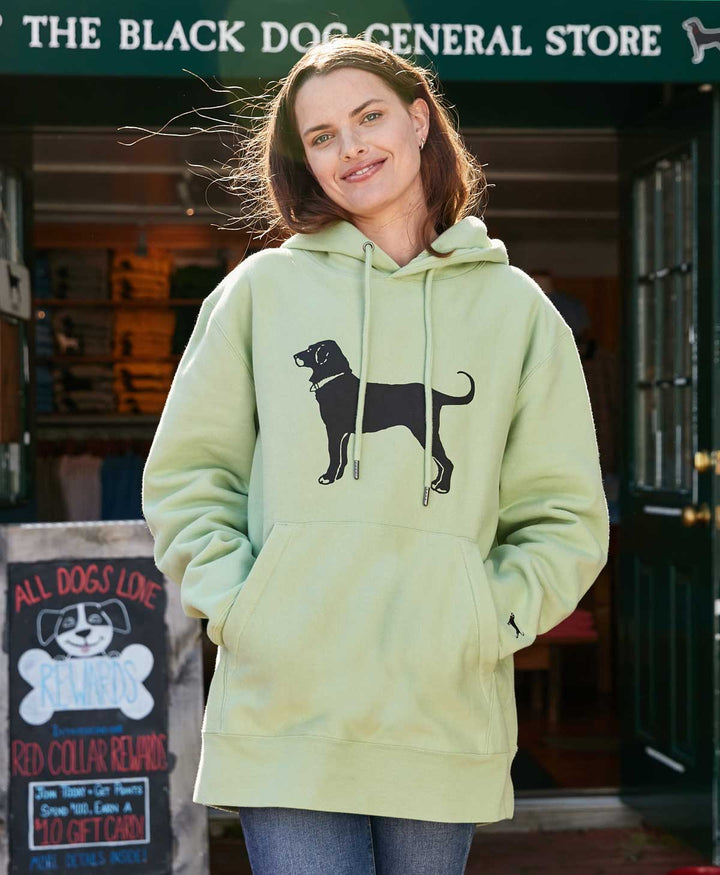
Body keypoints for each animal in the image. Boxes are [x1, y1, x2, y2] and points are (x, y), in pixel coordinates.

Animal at [294, 339, 475, 495]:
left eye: (310, 350)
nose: (294, 356)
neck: (335, 379)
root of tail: (435, 393)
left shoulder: (334, 430)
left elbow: (334, 456)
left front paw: (328, 477)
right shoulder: (344, 433)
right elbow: (342, 457)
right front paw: (338, 476)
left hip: (424, 432)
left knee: (447, 462)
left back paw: (443, 487)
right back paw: (436, 483)